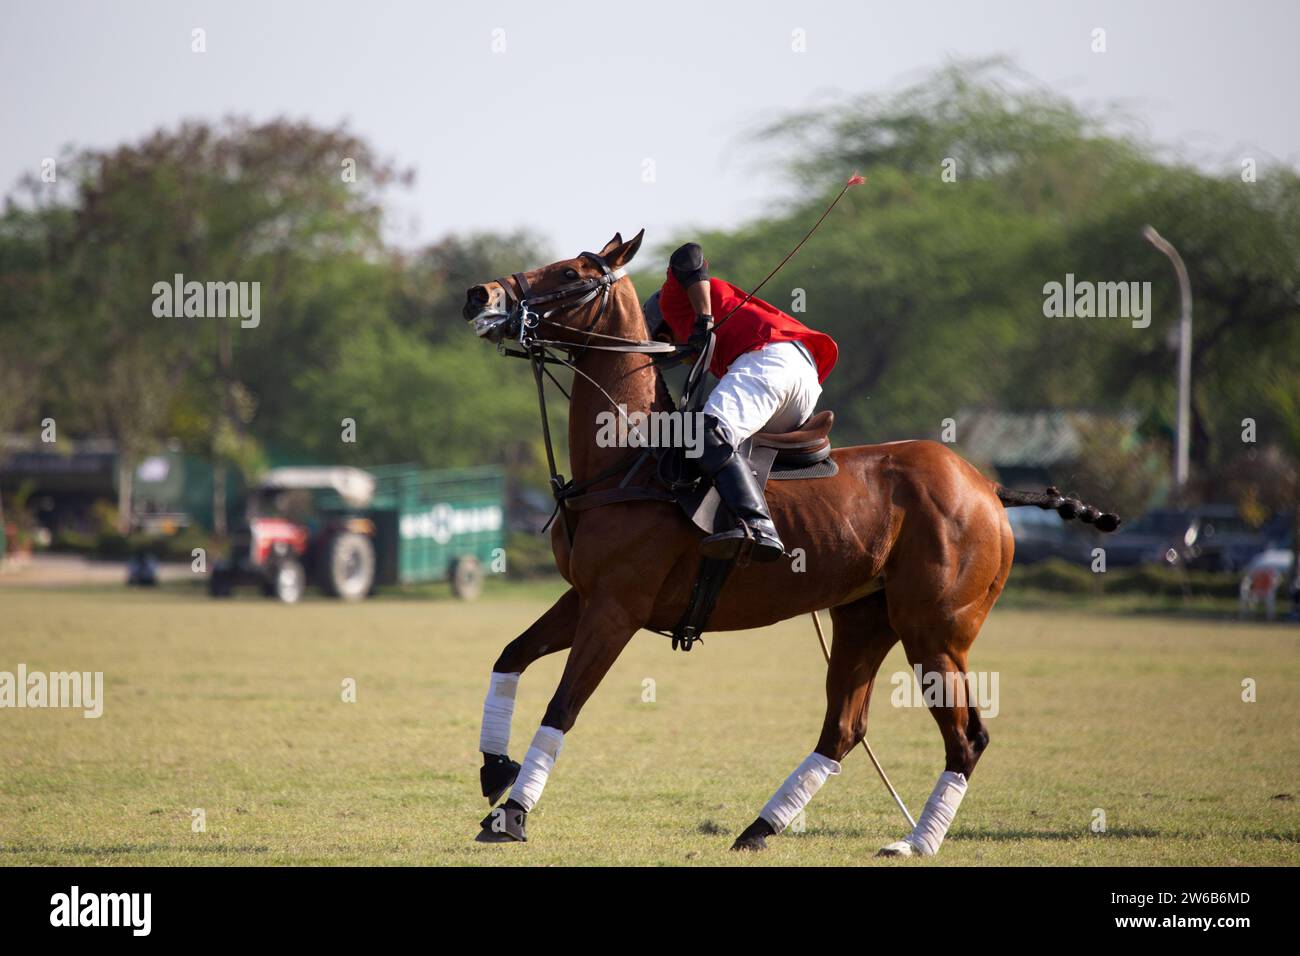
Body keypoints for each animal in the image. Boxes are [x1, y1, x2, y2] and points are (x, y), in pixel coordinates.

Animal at [461, 229, 1119, 856]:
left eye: (570, 273)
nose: (479, 295)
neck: (628, 457)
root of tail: (987, 485)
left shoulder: (617, 608)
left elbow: (562, 707)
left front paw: (512, 816)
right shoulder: (585, 596)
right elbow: (509, 656)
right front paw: (496, 771)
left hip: (936, 630)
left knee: (966, 737)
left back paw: (914, 842)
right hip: (866, 618)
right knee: (844, 730)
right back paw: (761, 827)